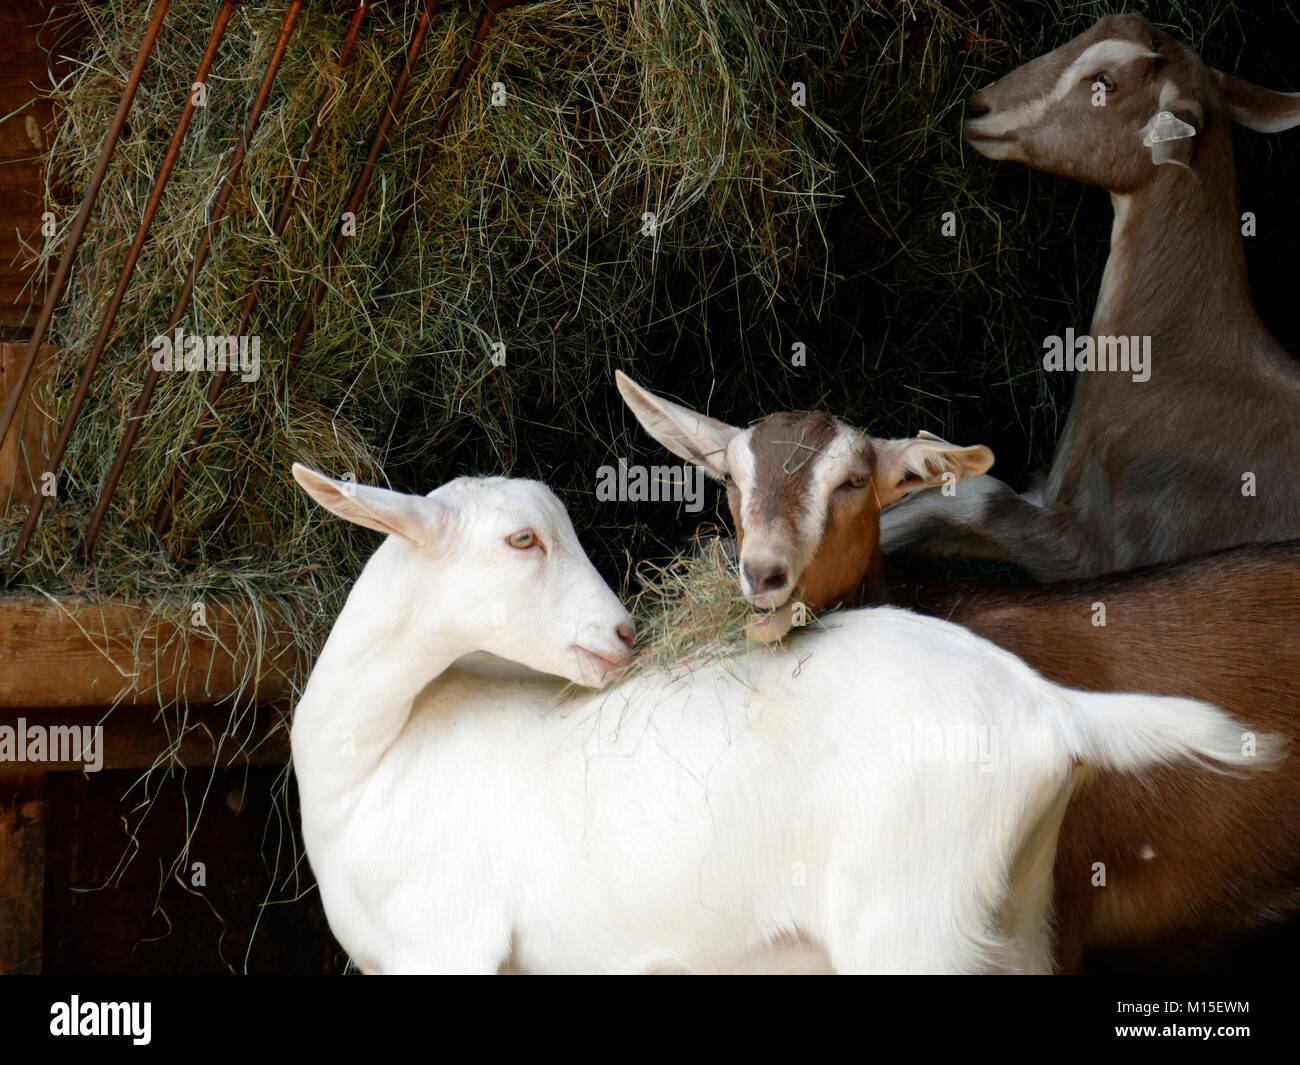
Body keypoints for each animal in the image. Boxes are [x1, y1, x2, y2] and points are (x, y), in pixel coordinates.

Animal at [289, 462, 1271, 974]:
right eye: (523, 540)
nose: (623, 632)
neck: (373, 760)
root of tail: (1051, 707)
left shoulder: (444, 944)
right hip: (1015, 914)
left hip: (910, 925)